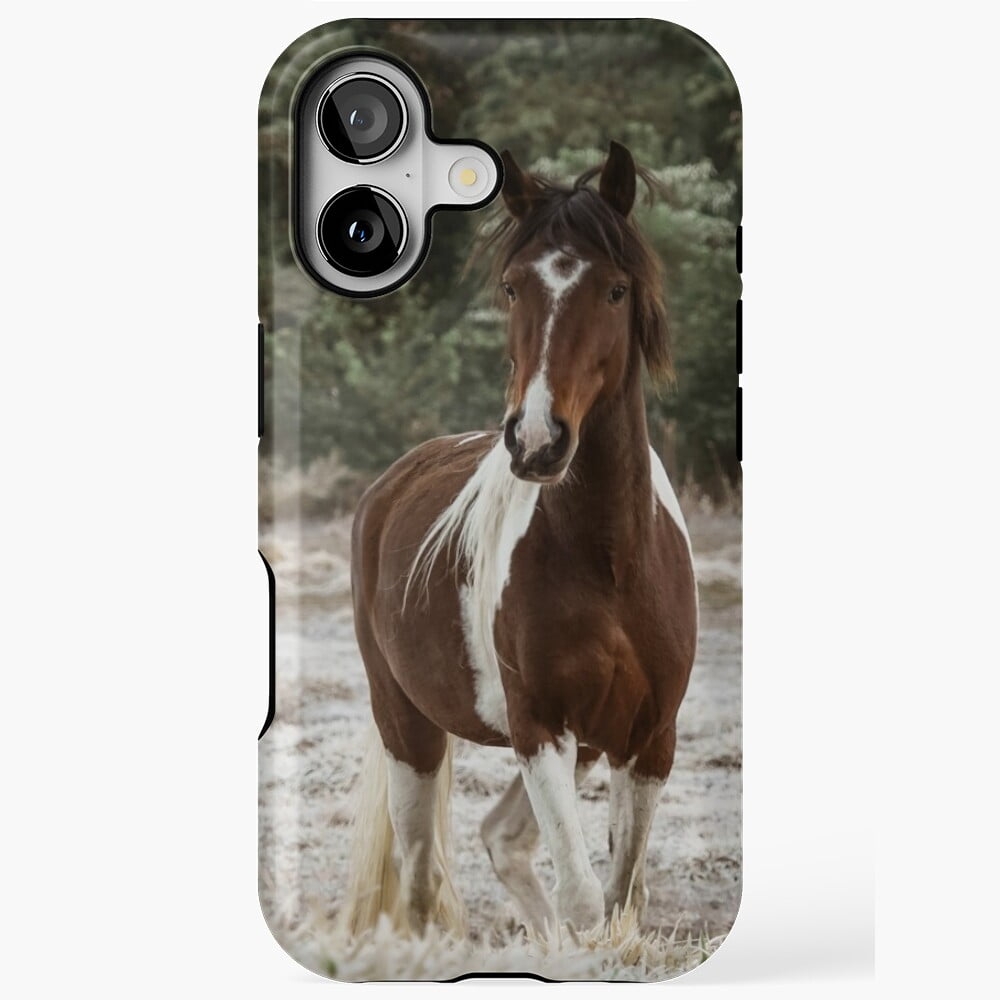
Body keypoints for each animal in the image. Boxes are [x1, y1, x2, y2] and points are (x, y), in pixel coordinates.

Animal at [343, 141, 698, 937]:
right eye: (512, 288)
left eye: (616, 290)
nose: (537, 440)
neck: (610, 560)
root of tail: (388, 487)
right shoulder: (541, 727)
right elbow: (586, 899)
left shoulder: (649, 739)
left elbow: (622, 898)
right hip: (408, 728)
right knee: (420, 882)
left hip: (590, 743)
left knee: (502, 840)